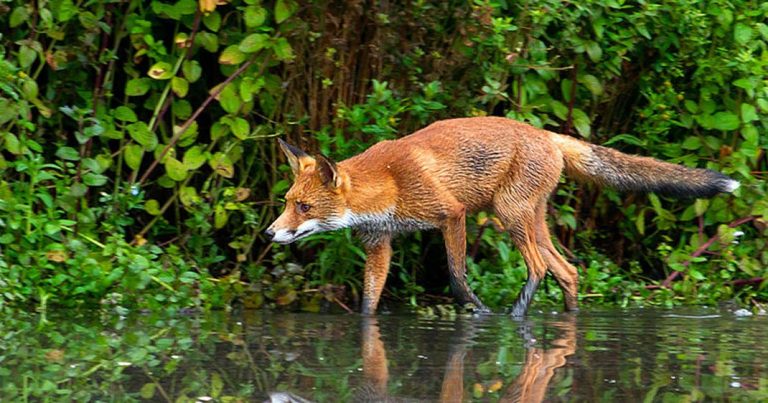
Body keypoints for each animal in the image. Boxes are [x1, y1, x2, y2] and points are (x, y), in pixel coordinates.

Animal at [265, 117, 739, 316]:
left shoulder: (451, 215)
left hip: (509, 215)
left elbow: (457, 279)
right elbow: (368, 303)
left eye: (304, 207)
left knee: (540, 269)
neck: (389, 184)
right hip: (530, 219)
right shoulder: (379, 244)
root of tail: (548, 134)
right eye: (287, 201)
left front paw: (479, 313)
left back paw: (515, 316)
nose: (270, 234)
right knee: (568, 272)